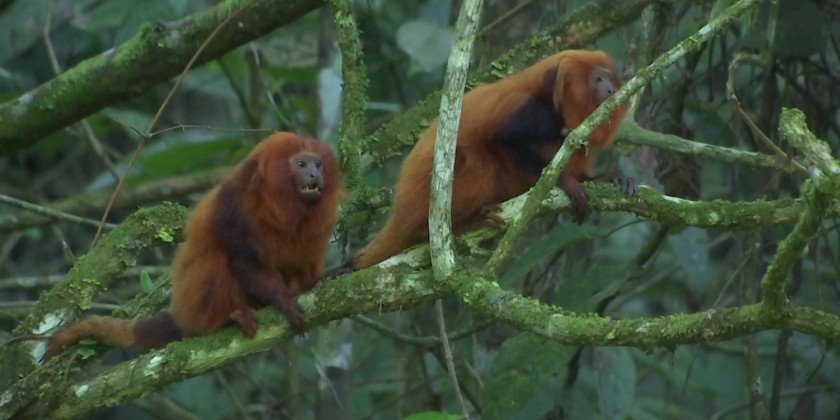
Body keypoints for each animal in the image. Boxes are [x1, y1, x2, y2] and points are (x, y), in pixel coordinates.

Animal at [43, 132, 344, 361]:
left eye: (318, 165)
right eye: (301, 163)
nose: (315, 174)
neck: (284, 208)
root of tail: (182, 315)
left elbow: (306, 261)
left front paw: (318, 280)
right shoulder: (234, 207)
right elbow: (244, 261)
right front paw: (282, 298)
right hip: (194, 303)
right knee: (213, 259)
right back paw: (227, 317)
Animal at [345, 49, 633, 271]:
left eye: (610, 79)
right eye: (598, 79)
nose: (610, 89)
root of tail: (400, 214)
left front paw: (605, 177)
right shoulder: (532, 111)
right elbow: (506, 141)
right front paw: (566, 182)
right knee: (474, 160)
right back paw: (459, 225)